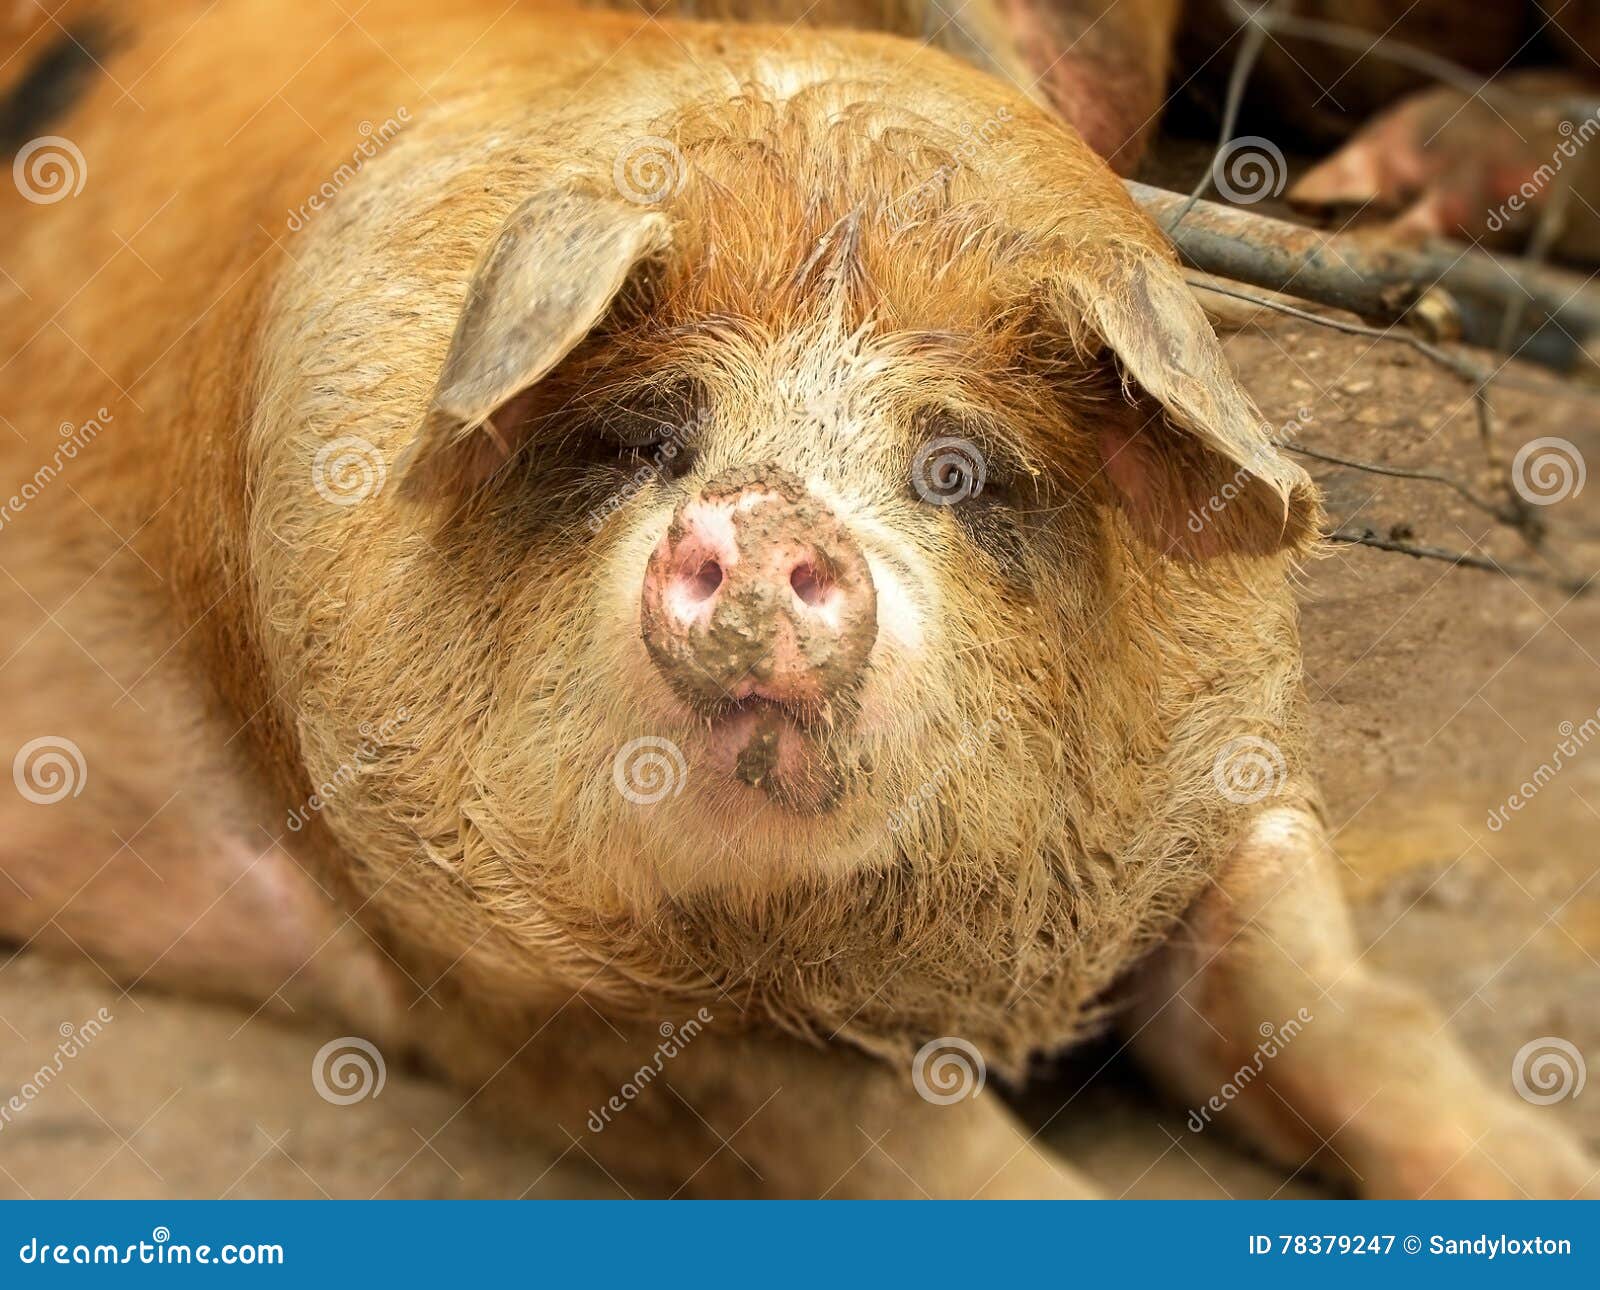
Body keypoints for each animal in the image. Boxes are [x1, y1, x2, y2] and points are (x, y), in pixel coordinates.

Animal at [0, 0, 1595, 1198]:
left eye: (958, 466)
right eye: (649, 439)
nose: (765, 518)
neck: (921, 974)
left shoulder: (1241, 785)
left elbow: (1347, 1008)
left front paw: (1545, 1176)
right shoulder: (508, 981)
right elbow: (907, 1146)